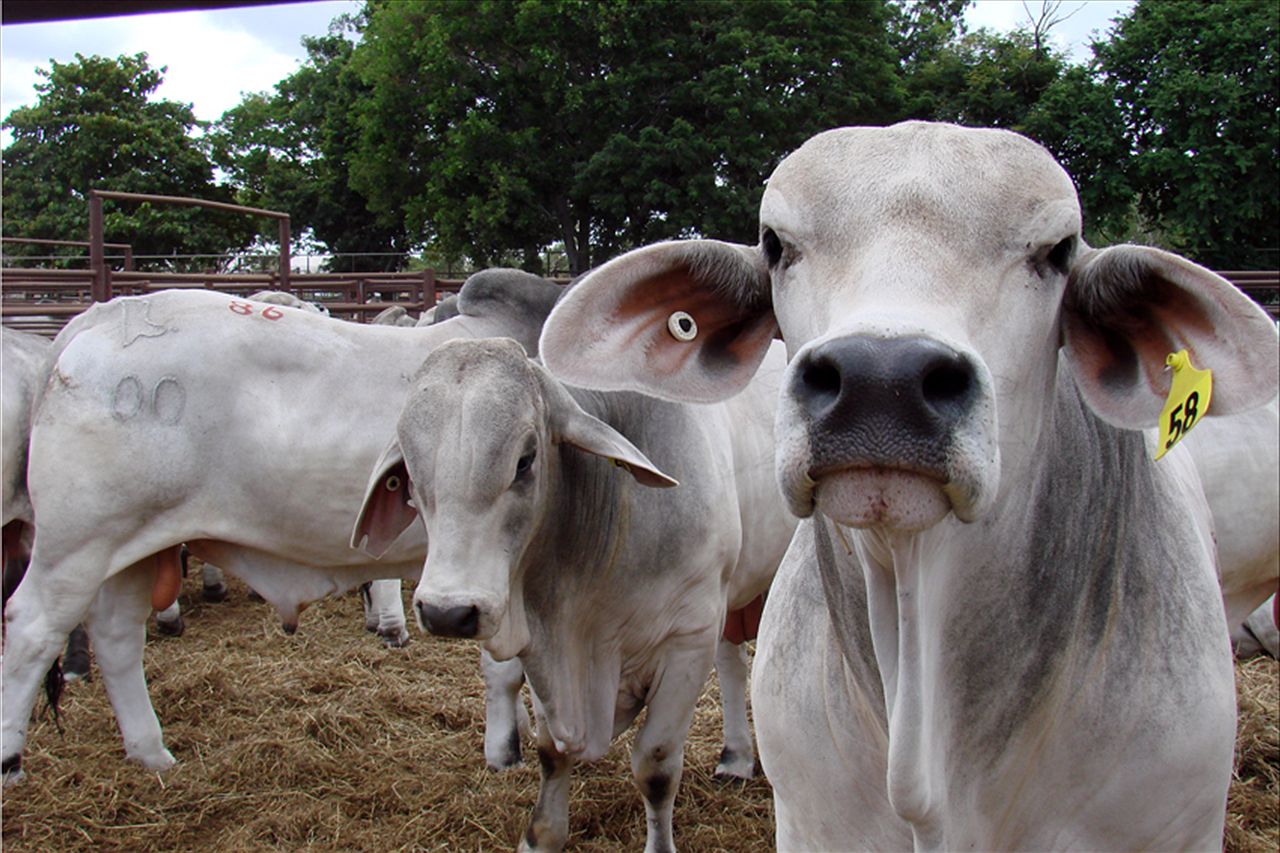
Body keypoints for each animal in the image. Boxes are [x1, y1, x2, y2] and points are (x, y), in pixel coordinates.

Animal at [1, 270, 563, 784]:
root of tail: (101, 314)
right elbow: (507, 667)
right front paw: (506, 750)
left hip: (131, 547)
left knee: (117, 635)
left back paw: (152, 753)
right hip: (76, 547)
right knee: (31, 630)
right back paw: (12, 762)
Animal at [352, 336, 795, 852]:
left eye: (525, 460)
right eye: (408, 468)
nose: (447, 612)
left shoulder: (689, 638)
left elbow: (655, 767)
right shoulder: (543, 645)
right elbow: (552, 753)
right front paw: (541, 835)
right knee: (732, 661)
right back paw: (737, 756)